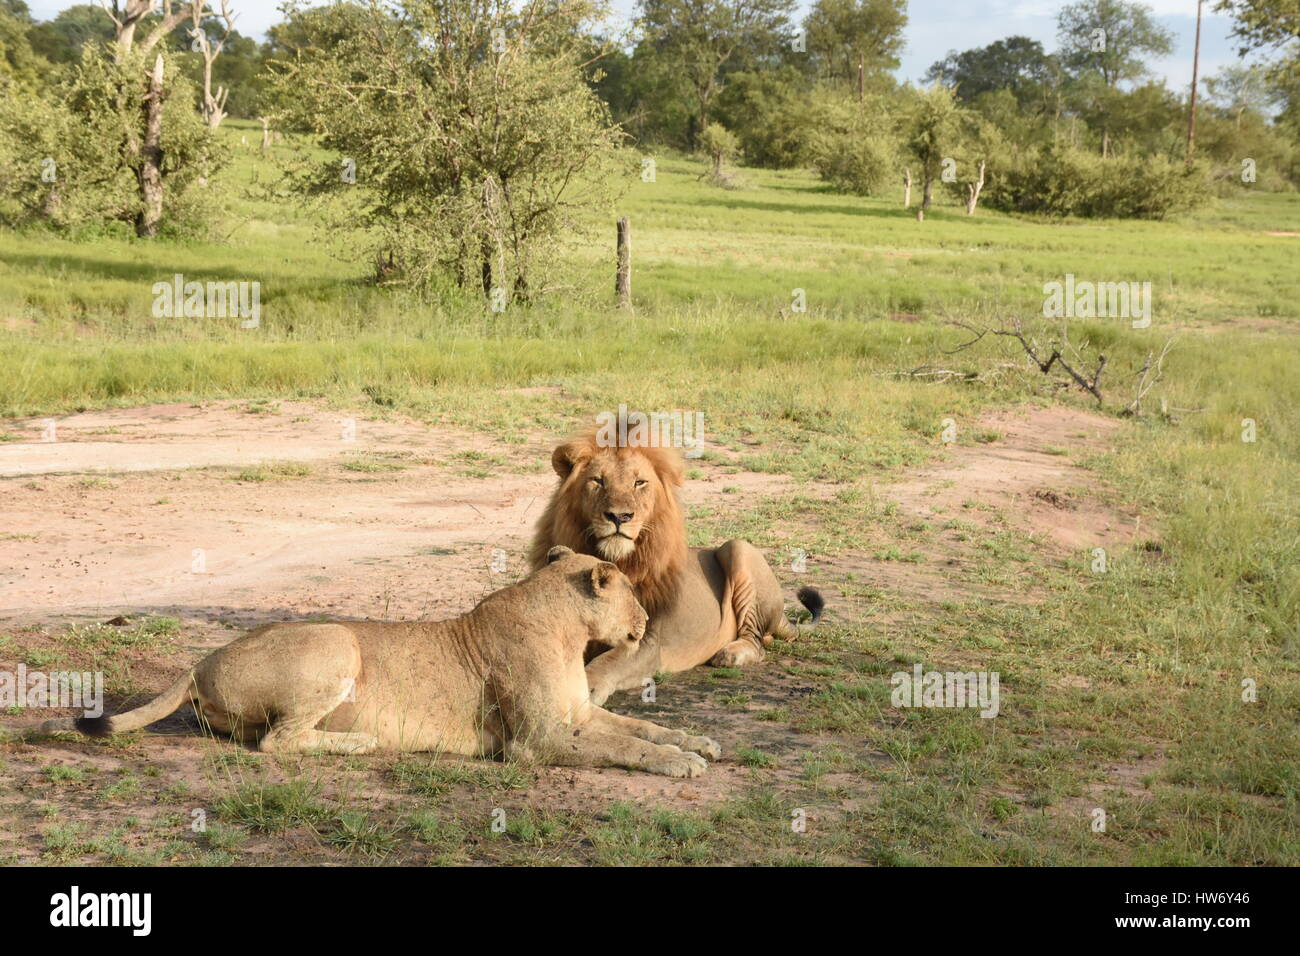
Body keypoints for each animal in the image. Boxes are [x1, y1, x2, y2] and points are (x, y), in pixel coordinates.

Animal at [35, 547, 720, 778]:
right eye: (633, 592)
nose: (645, 621)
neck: (566, 631)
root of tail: (199, 663)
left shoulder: (574, 717)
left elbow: (640, 727)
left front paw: (697, 744)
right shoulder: (535, 742)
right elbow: (623, 747)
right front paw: (679, 764)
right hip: (337, 642)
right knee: (277, 743)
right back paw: (361, 745)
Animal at [528, 434, 824, 705]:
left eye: (639, 483)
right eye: (598, 480)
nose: (619, 516)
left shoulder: (647, 642)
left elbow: (604, 664)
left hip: (739, 549)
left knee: (755, 641)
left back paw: (730, 654)